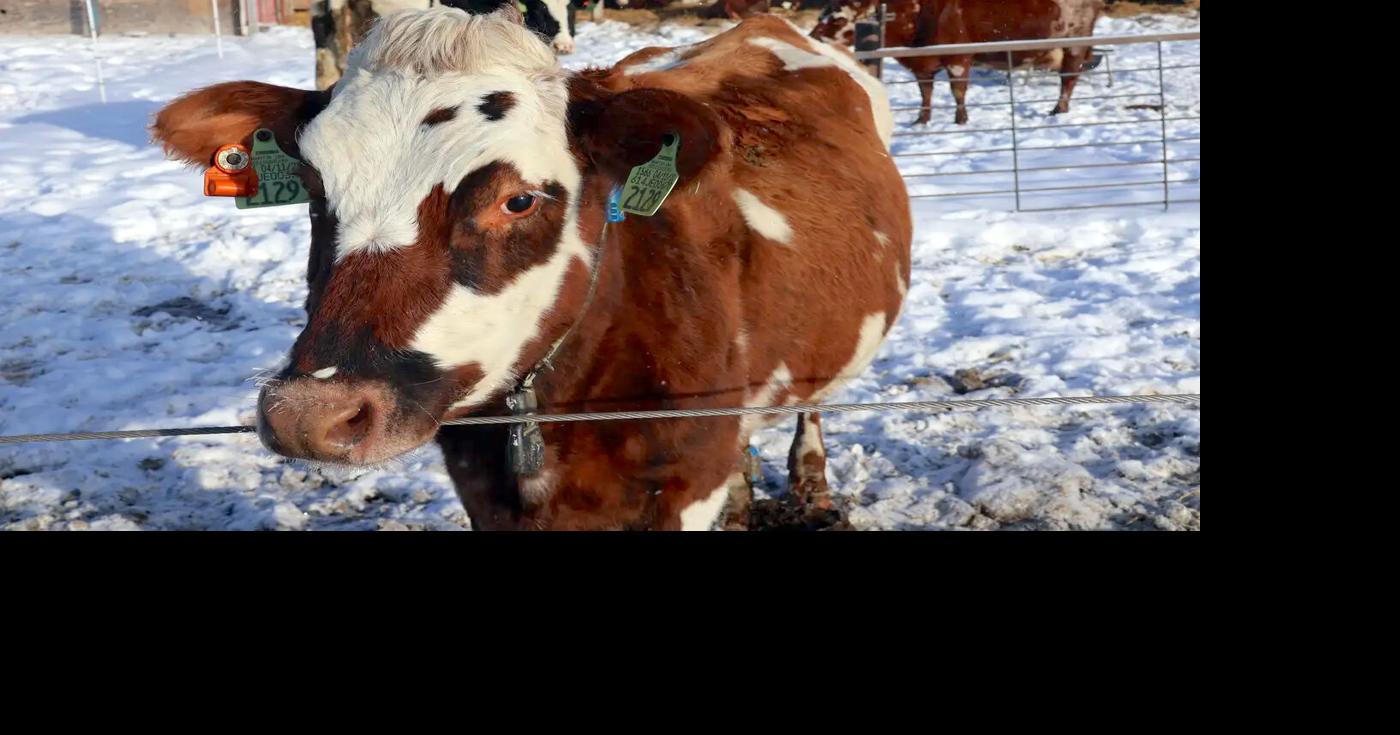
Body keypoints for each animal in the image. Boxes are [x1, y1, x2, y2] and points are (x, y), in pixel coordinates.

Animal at [811, 0, 1104, 125]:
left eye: (838, 18)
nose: (813, 36)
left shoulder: (958, 56)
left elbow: (958, 90)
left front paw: (961, 119)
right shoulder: (922, 64)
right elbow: (925, 92)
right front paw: (921, 120)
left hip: (1074, 43)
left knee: (1069, 78)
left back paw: (1059, 110)